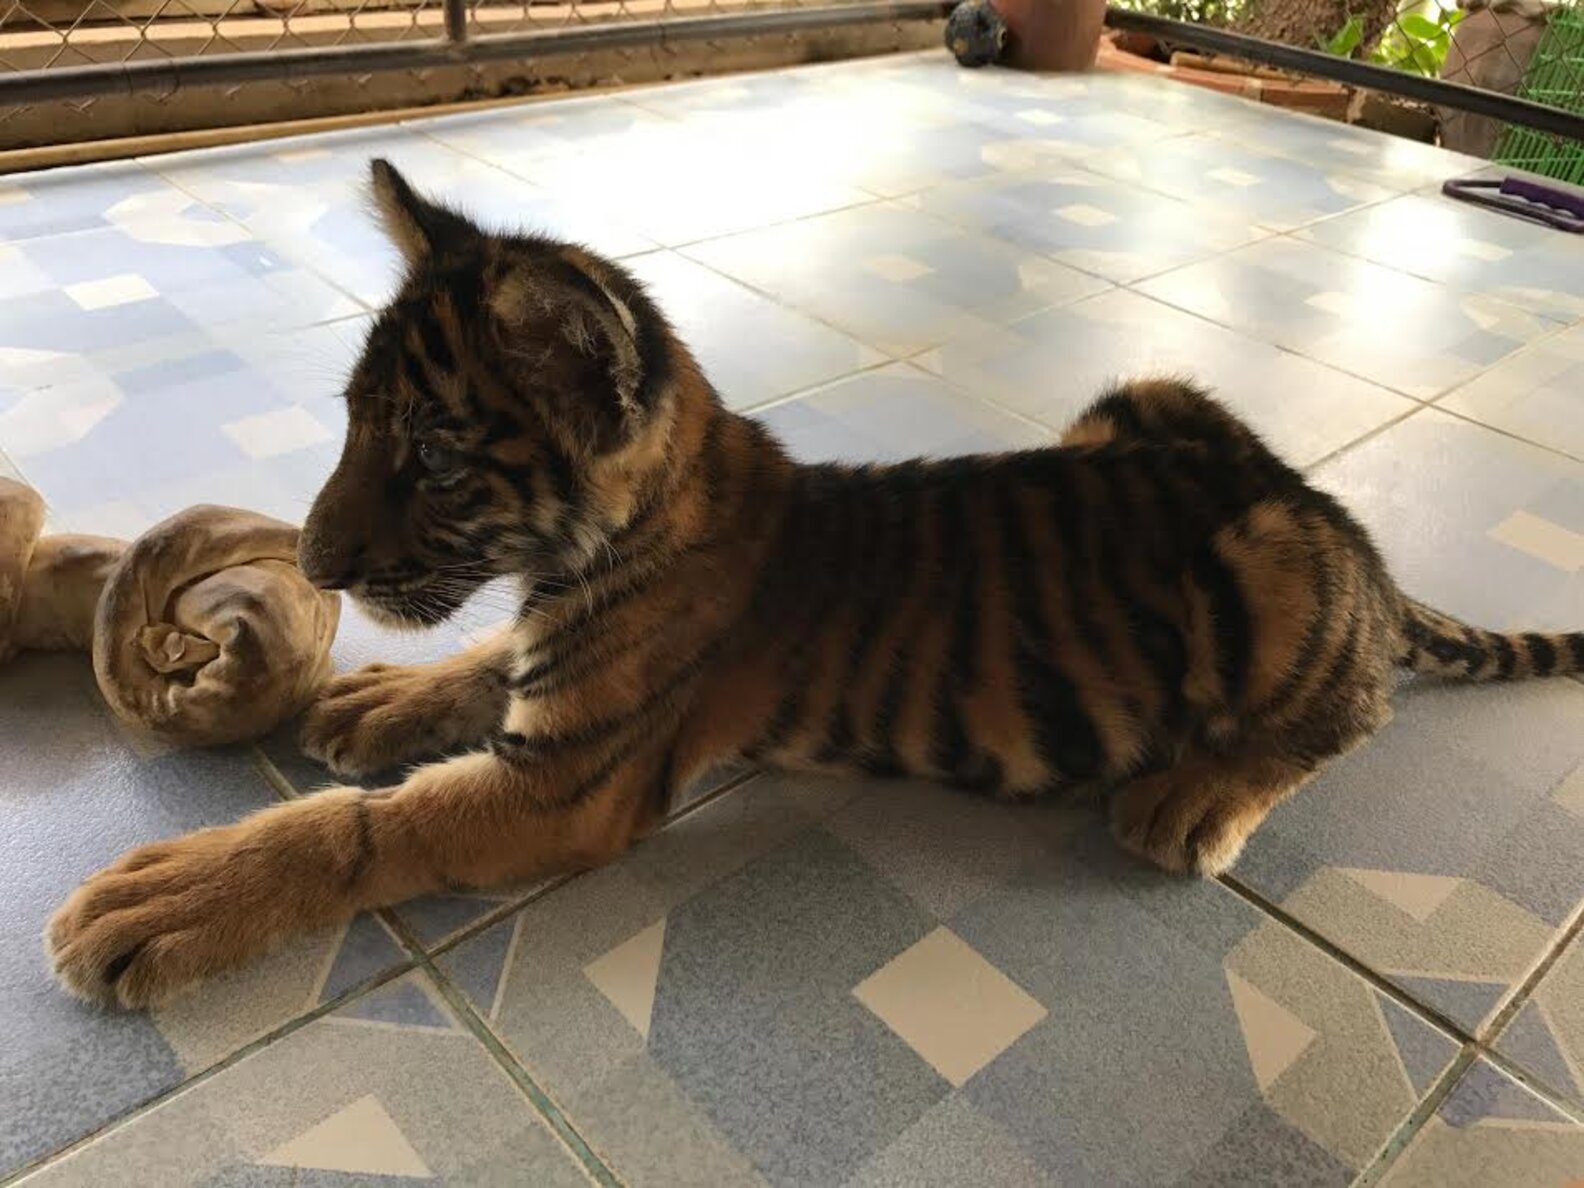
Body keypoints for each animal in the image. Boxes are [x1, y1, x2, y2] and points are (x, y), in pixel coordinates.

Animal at [47, 159, 1584, 1009]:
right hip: (1139, 398)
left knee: (1353, 710)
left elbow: (361, 832)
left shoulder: (567, 784)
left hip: (1274, 581)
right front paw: (376, 699)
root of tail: (1336, 520)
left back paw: (1194, 798)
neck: (610, 539)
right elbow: (477, 668)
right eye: (356, 424)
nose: (310, 564)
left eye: (429, 457)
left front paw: (163, 901)